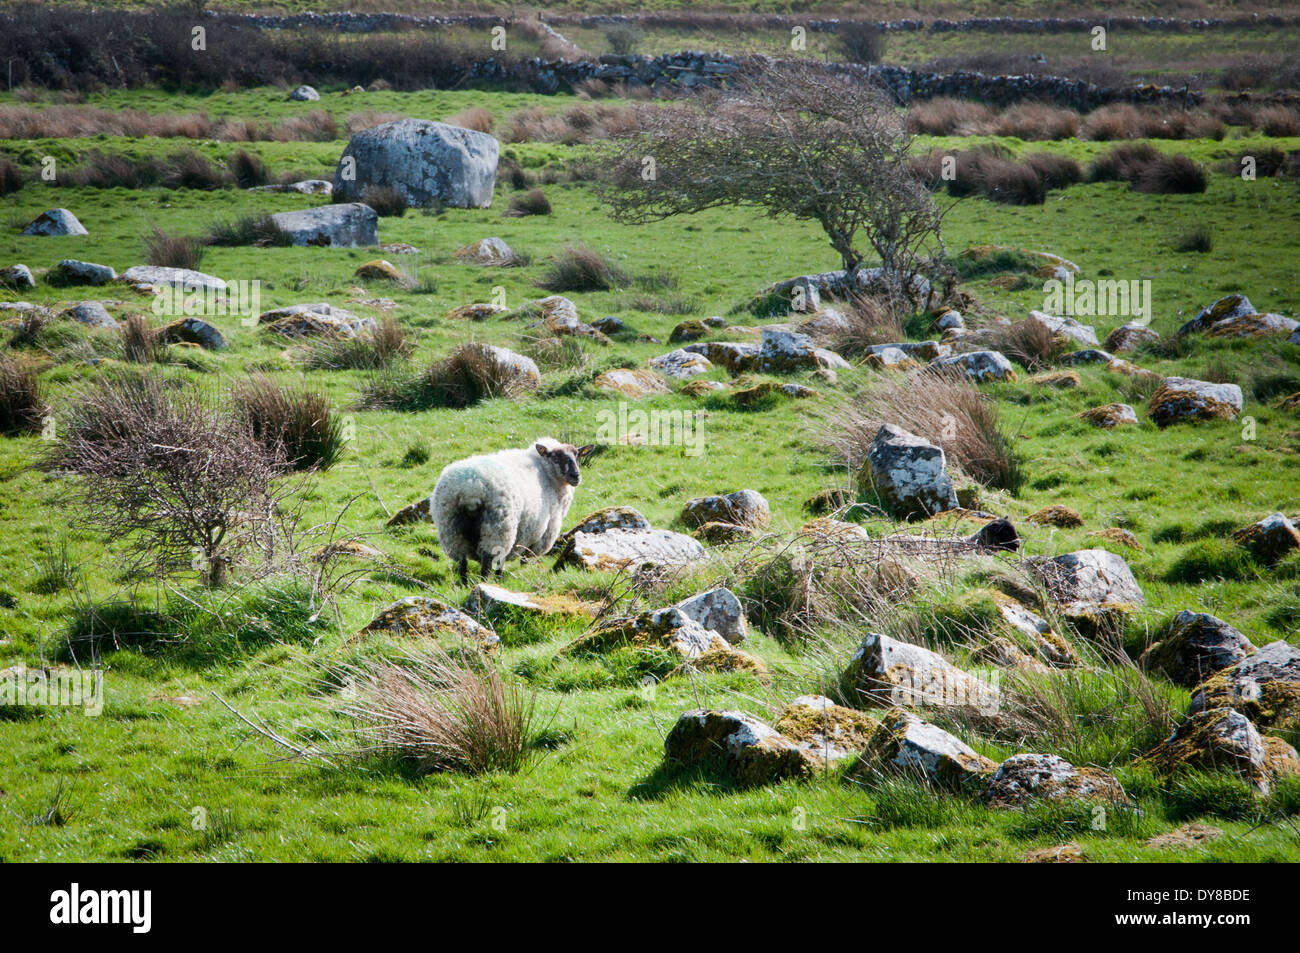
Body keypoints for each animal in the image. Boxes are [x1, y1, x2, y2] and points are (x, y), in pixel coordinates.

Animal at [431, 436, 595, 582]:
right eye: (555, 458)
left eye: (577, 456)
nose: (575, 476)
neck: (546, 471)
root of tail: (470, 486)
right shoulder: (538, 536)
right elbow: (522, 560)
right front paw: (520, 573)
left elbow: (502, 561)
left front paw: (500, 578)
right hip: (498, 527)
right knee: (487, 561)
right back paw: (484, 583)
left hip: (452, 529)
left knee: (462, 561)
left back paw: (464, 584)